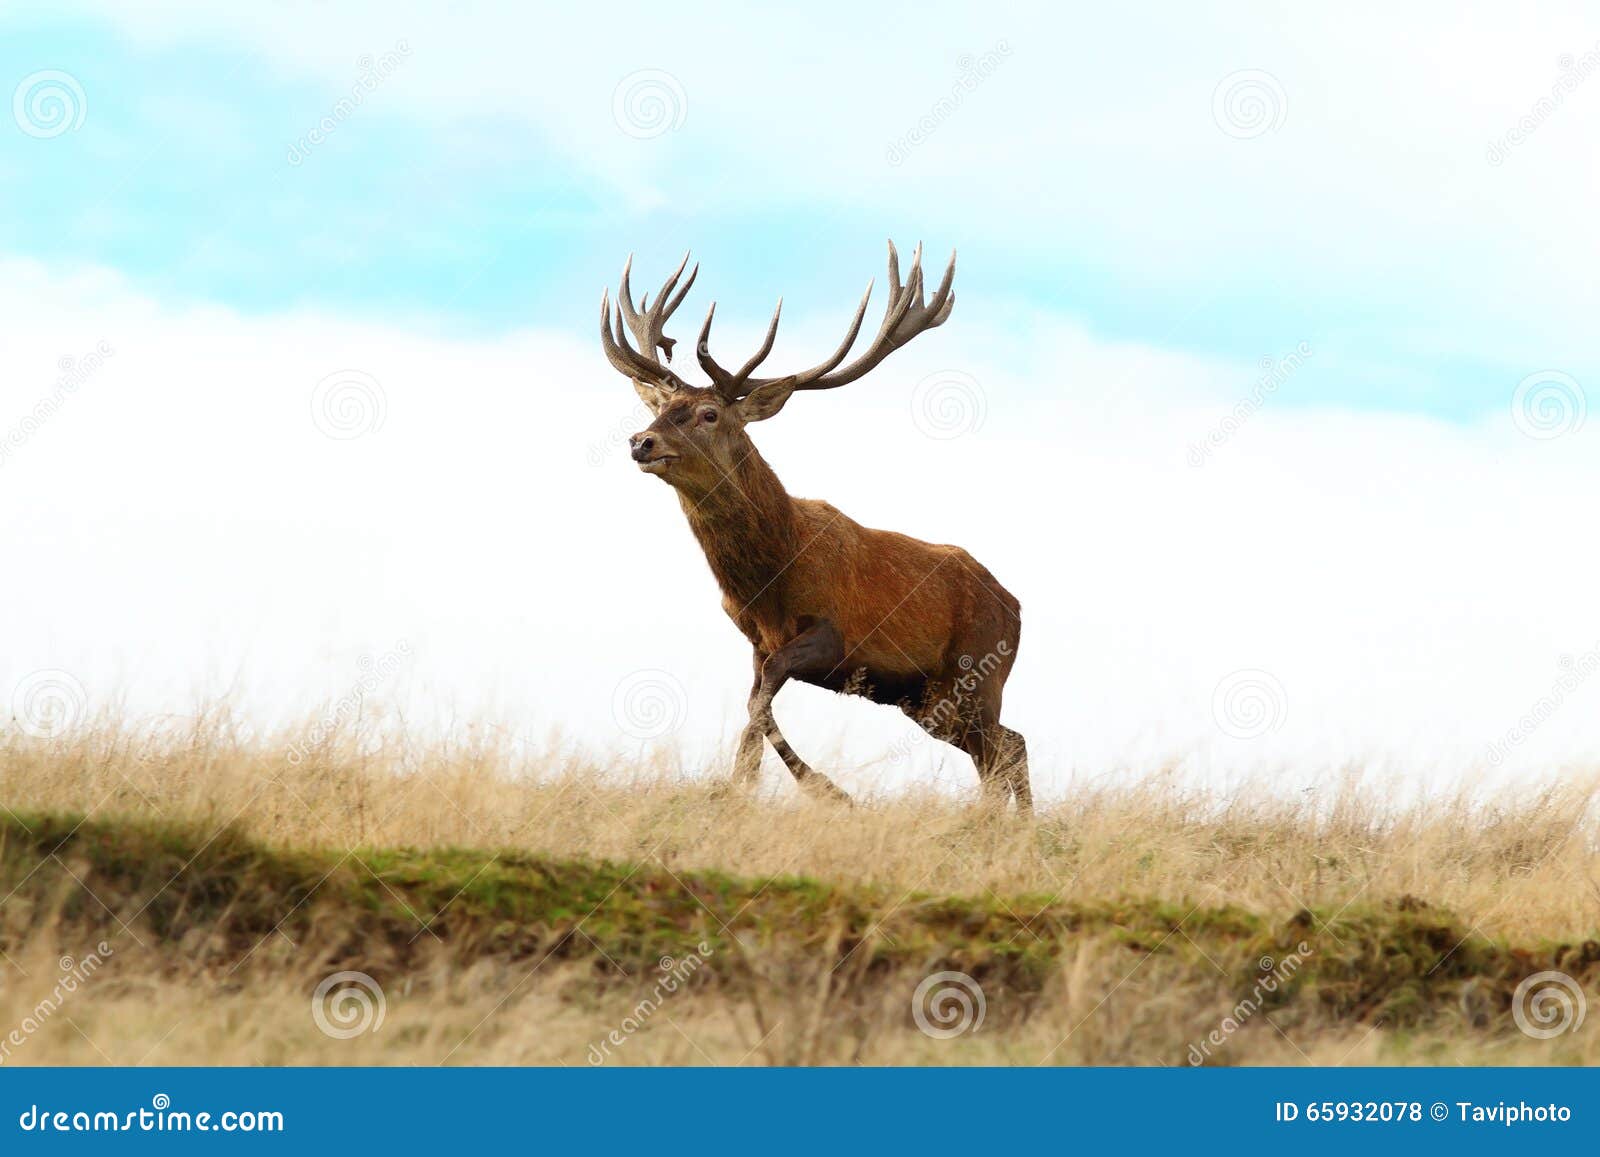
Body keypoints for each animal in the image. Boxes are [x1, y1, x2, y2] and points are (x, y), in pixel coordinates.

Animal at [600, 242, 1030, 811]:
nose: (641, 442)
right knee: (1009, 746)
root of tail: (1017, 608)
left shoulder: (833, 631)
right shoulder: (756, 643)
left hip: (975, 669)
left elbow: (761, 701)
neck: (767, 583)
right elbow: (755, 704)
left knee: (1001, 752)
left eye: (710, 414)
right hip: (924, 698)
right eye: (665, 407)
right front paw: (749, 782)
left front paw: (821, 790)